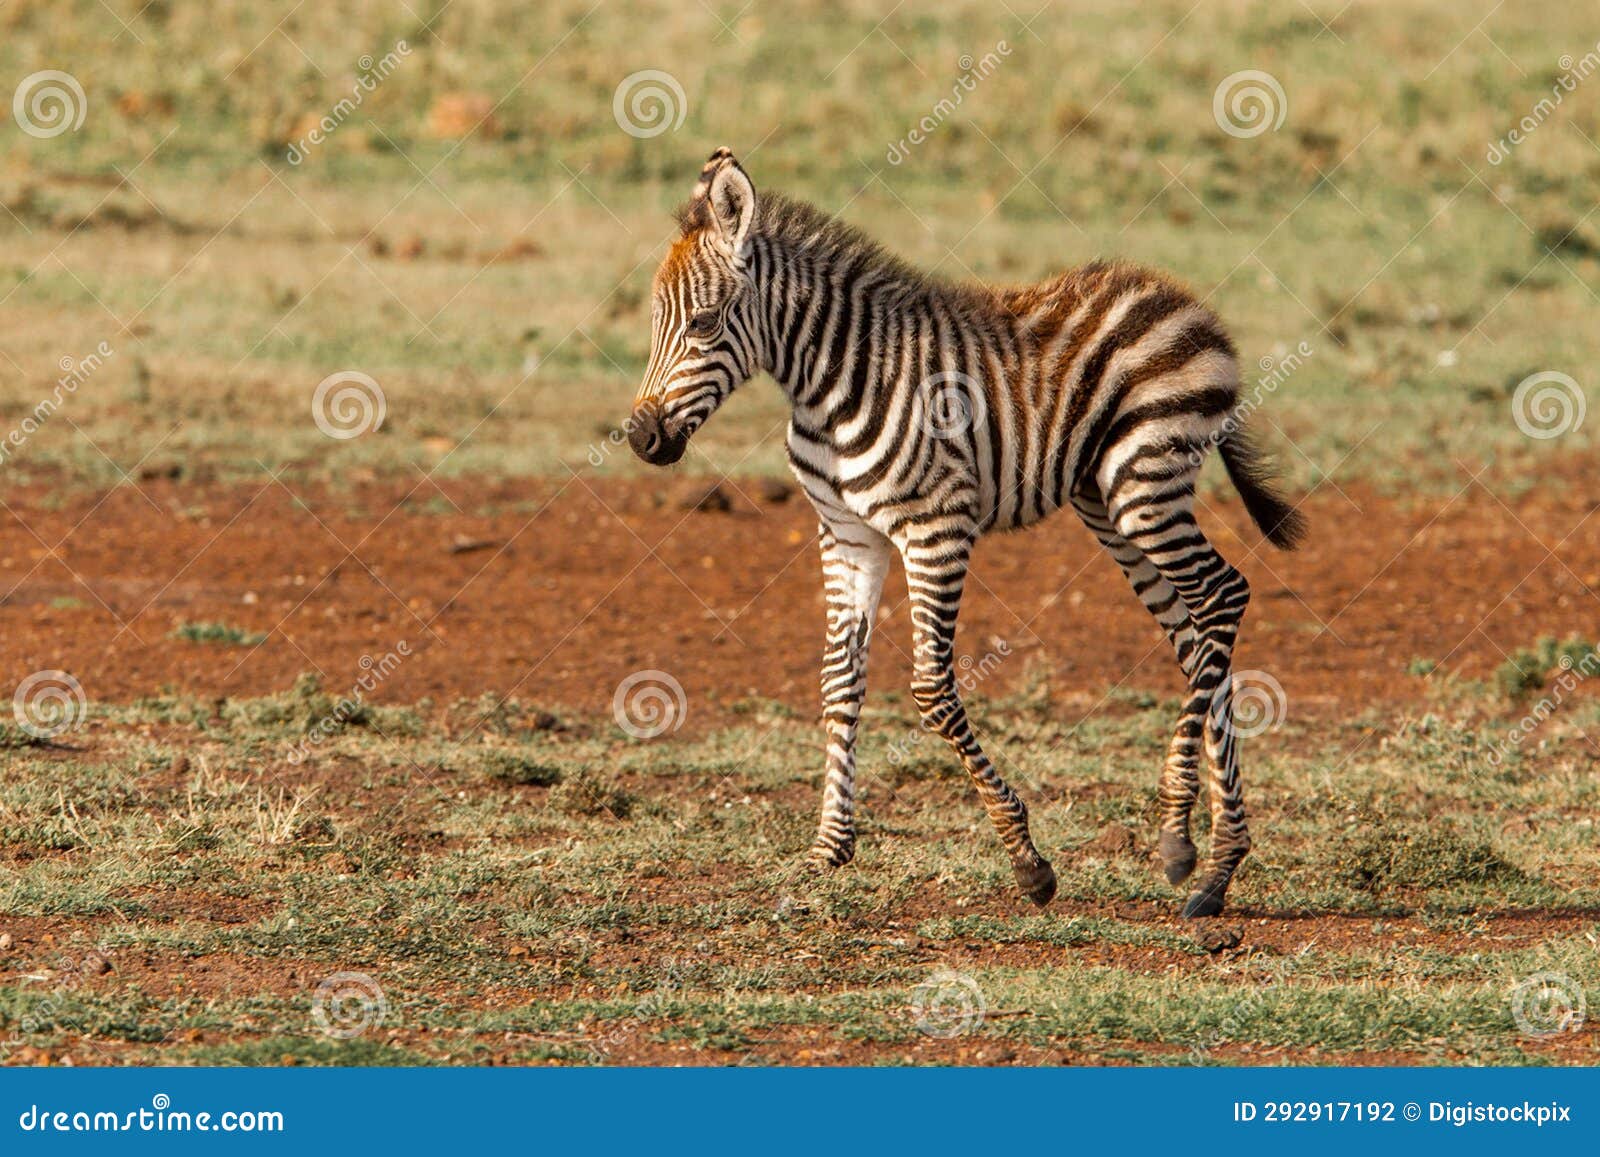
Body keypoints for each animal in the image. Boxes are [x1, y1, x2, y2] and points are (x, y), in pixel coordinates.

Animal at [626, 147, 1305, 918]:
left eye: (705, 323)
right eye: (656, 322)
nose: (642, 438)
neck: (829, 387)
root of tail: (1186, 300)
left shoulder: (936, 527)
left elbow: (932, 692)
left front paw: (1028, 862)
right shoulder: (847, 536)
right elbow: (838, 680)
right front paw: (827, 850)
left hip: (1146, 486)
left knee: (1223, 596)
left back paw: (1184, 844)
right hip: (1109, 505)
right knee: (1195, 637)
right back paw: (1215, 859)